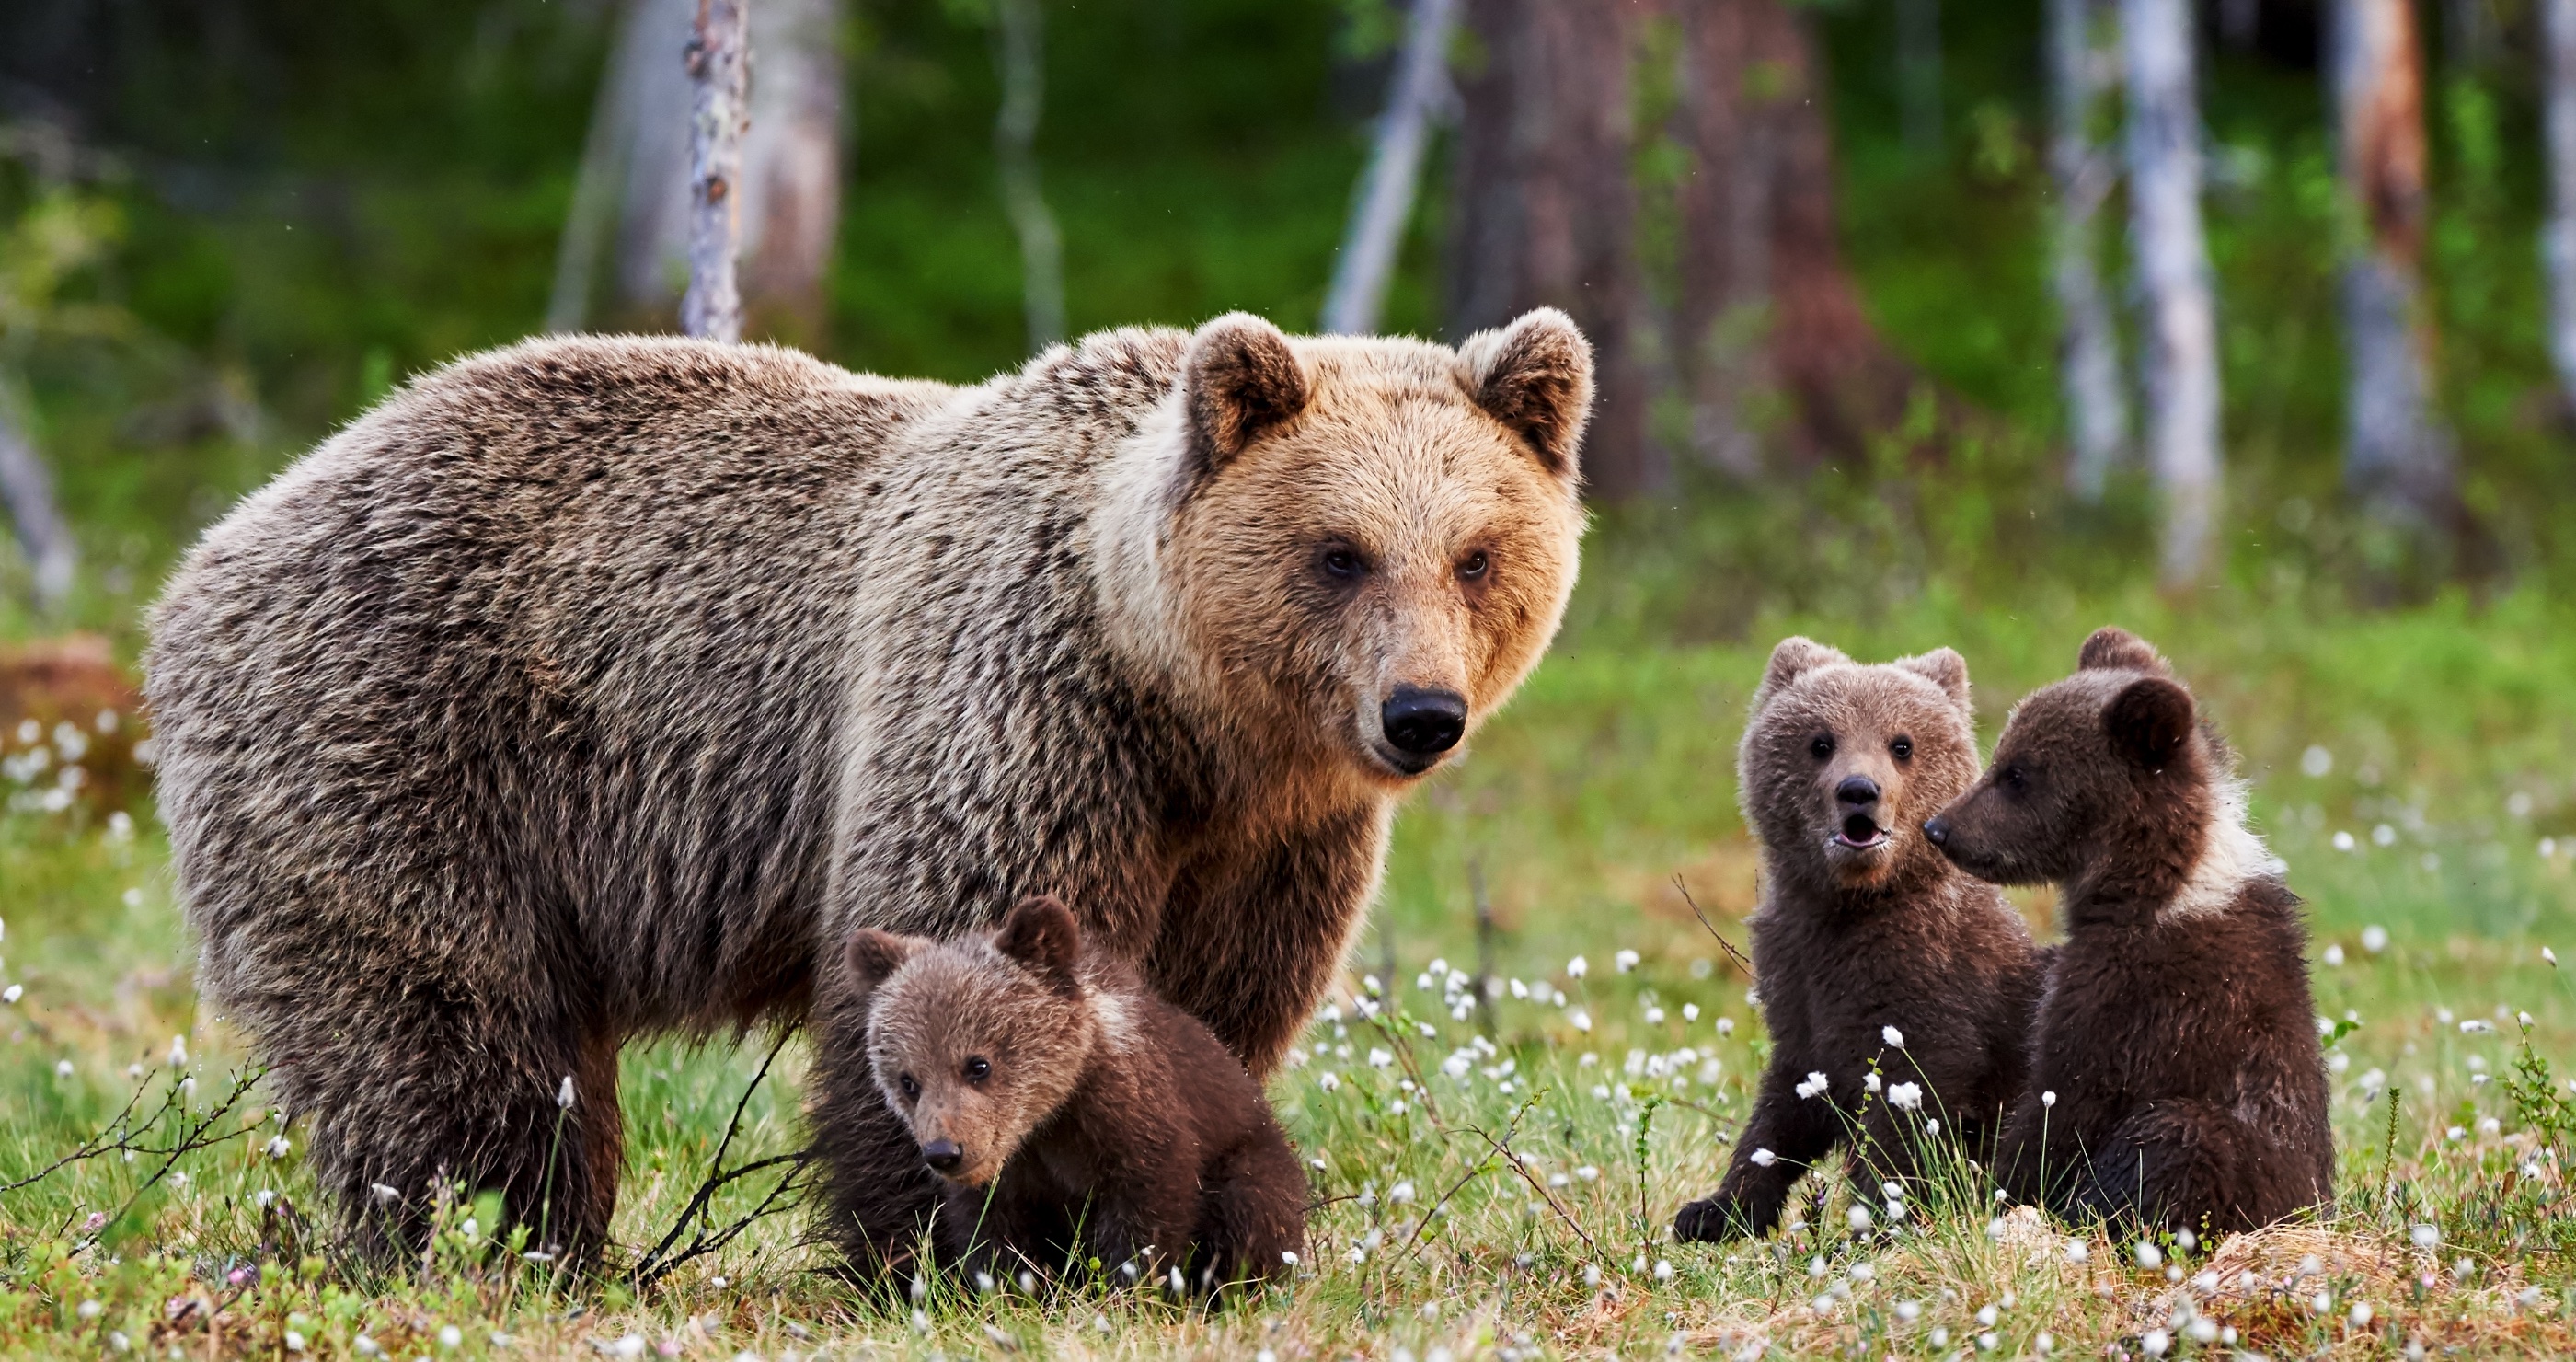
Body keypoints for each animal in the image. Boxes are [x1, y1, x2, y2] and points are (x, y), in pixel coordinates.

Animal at [848, 895, 1306, 1291]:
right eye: (908, 1080)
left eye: (978, 1065)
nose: (944, 1151)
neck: (1049, 1119)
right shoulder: (1008, 1180)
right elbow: (993, 1237)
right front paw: (1007, 1292)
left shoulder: (1138, 1123)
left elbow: (1148, 1215)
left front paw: (1128, 1290)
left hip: (1252, 1156)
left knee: (1253, 1206)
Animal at [1672, 637, 2048, 1243]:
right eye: (1820, 742)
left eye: (1902, 744)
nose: (1858, 792)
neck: (1854, 905)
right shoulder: (1798, 980)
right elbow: (1788, 1103)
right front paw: (1715, 1210)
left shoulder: (1933, 990)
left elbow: (1910, 1109)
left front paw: (1876, 1220)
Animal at [1922, 627, 2333, 1234]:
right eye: (2001, 758)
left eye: (2017, 773)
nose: (1940, 828)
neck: (2153, 887)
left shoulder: (2140, 1001)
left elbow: (2064, 1105)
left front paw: (1986, 1193)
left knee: (2178, 1135)